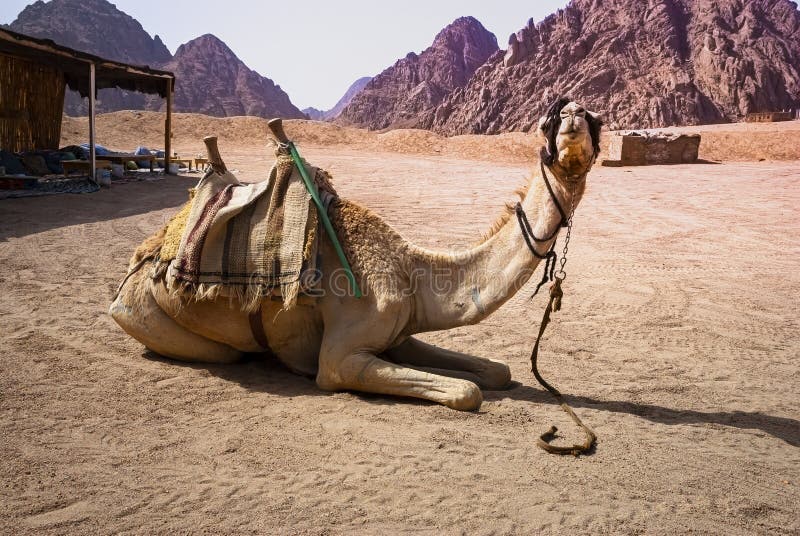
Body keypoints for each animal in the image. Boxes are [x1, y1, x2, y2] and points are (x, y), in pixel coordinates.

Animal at [110, 99, 602, 411]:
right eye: (551, 120)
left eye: (595, 118)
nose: (574, 115)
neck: (411, 273)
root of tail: (140, 260)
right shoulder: (341, 358)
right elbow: (467, 391)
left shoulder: (399, 333)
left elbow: (495, 372)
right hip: (145, 316)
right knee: (220, 353)